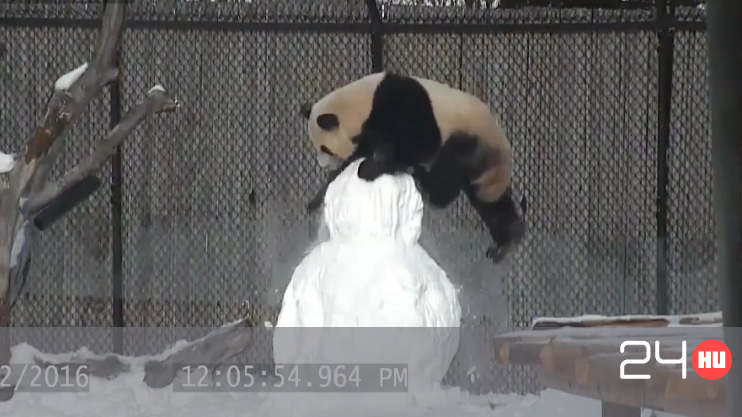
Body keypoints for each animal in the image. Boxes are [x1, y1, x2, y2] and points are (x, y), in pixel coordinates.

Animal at [299, 71, 525, 264]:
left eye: (325, 148)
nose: (322, 163)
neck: (363, 102)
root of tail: (504, 158)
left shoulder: (406, 108)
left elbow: (417, 144)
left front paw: (370, 168)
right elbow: (357, 155)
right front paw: (316, 199)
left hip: (472, 141)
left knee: (450, 167)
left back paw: (426, 184)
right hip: (484, 170)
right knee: (489, 204)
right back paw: (507, 238)